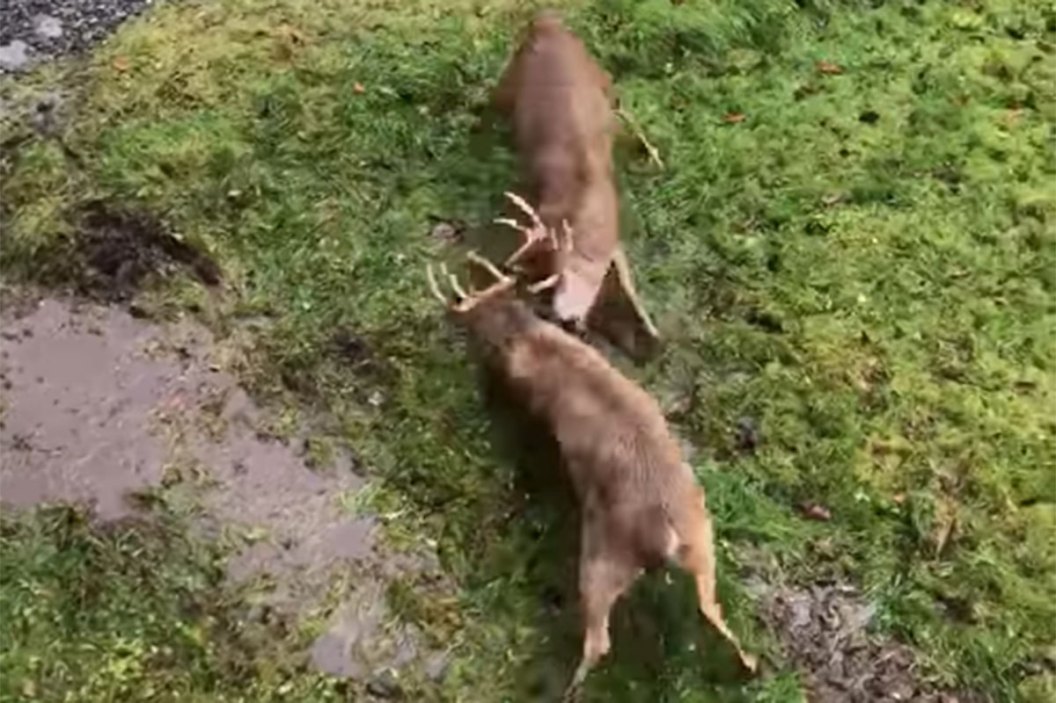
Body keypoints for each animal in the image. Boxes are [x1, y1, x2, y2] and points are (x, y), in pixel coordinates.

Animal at [426, 251, 756, 699]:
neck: (531, 341)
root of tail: (665, 535)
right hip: (702, 536)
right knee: (713, 606)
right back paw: (748, 665)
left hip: (604, 555)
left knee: (599, 640)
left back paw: (563, 688)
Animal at [492, 11, 659, 349]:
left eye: (540, 280)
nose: (507, 265)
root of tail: (546, 20)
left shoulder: (613, 243)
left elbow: (628, 283)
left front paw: (651, 330)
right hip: (512, 82)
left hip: (596, 79)